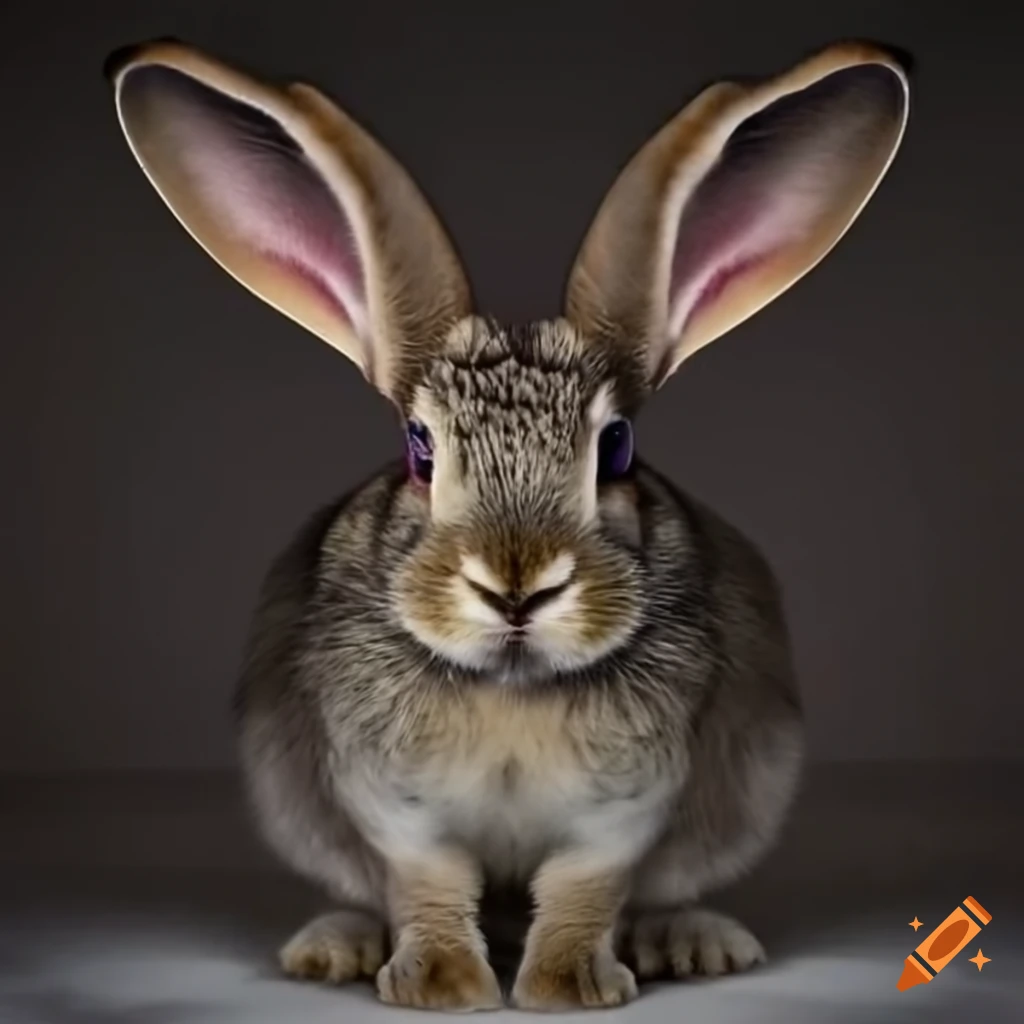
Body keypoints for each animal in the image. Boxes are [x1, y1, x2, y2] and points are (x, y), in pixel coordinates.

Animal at [104, 37, 909, 1011]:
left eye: (618, 448)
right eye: (419, 450)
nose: (517, 583)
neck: (512, 686)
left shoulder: (619, 816)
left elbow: (581, 893)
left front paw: (567, 990)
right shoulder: (398, 812)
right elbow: (430, 887)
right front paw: (443, 988)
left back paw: (694, 943)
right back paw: (334, 949)